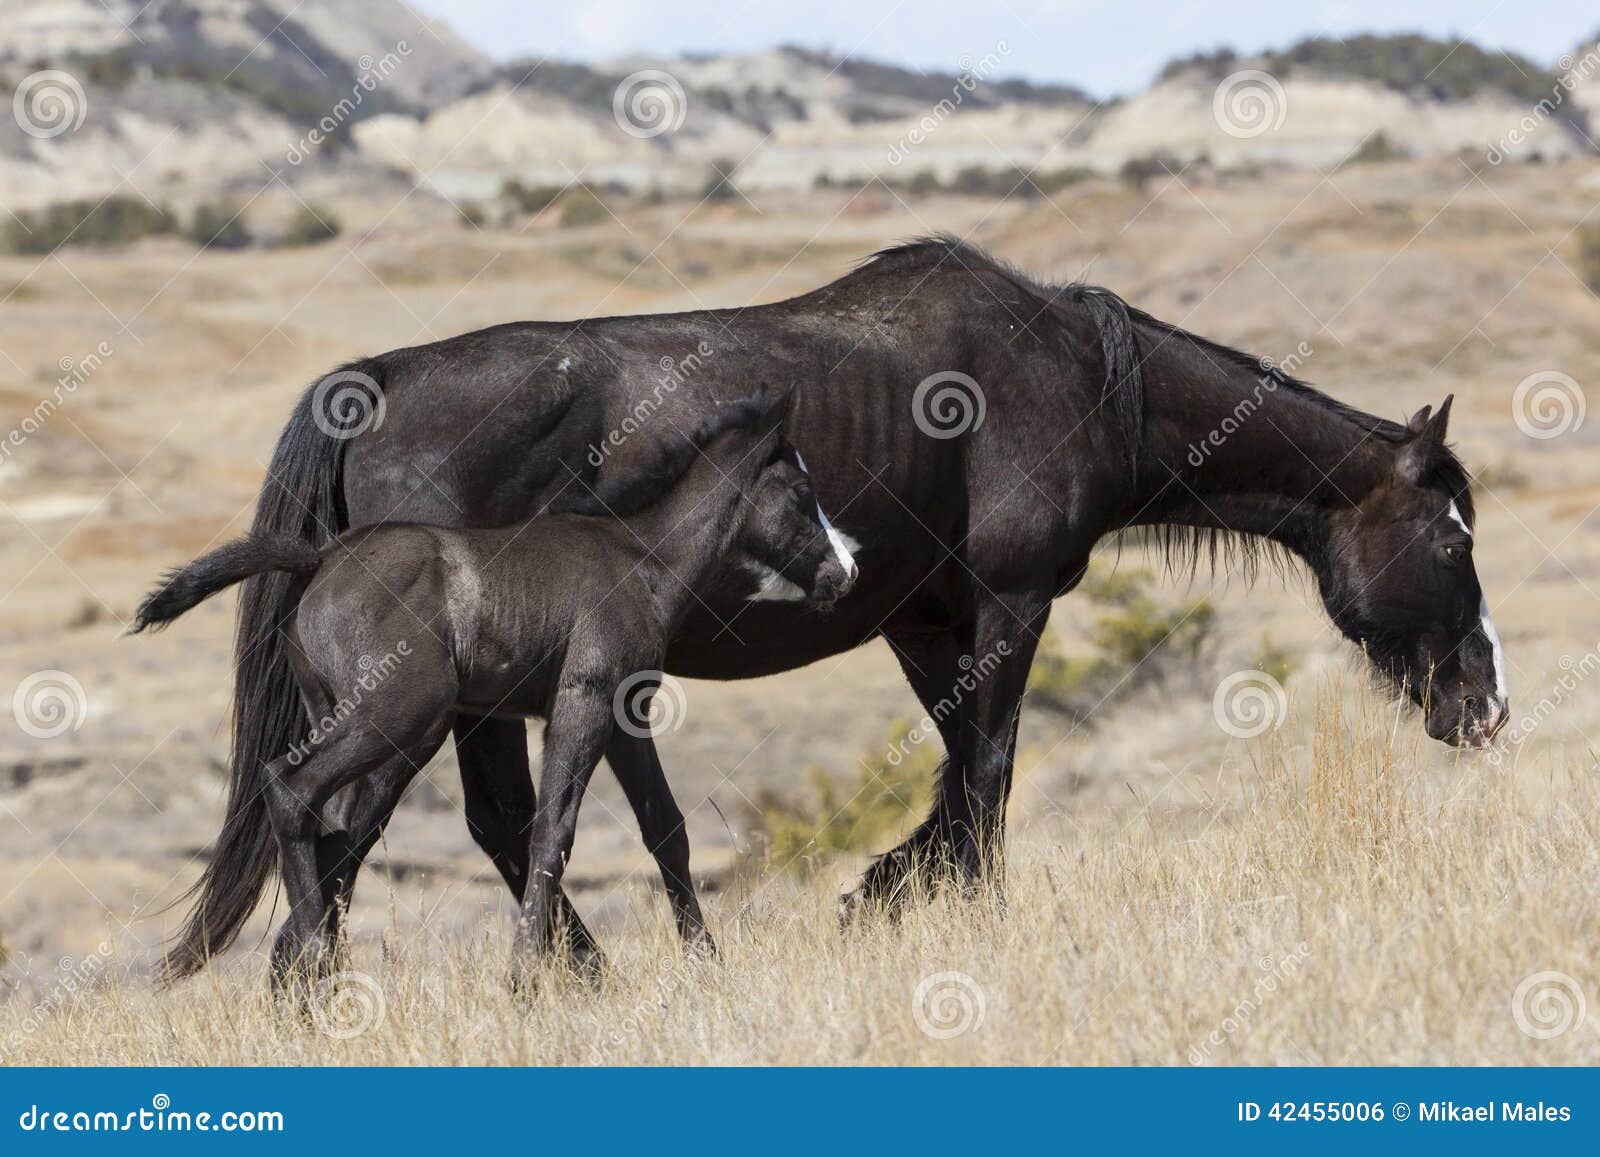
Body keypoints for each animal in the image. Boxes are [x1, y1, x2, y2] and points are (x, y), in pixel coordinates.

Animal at [134, 389, 854, 984]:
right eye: (799, 489)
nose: (843, 572)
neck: (640, 558)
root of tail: (321, 557)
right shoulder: (583, 699)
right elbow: (551, 832)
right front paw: (524, 979)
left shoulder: (625, 714)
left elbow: (666, 829)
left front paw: (707, 964)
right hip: (402, 718)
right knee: (291, 789)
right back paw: (314, 959)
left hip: (352, 718)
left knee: (334, 828)